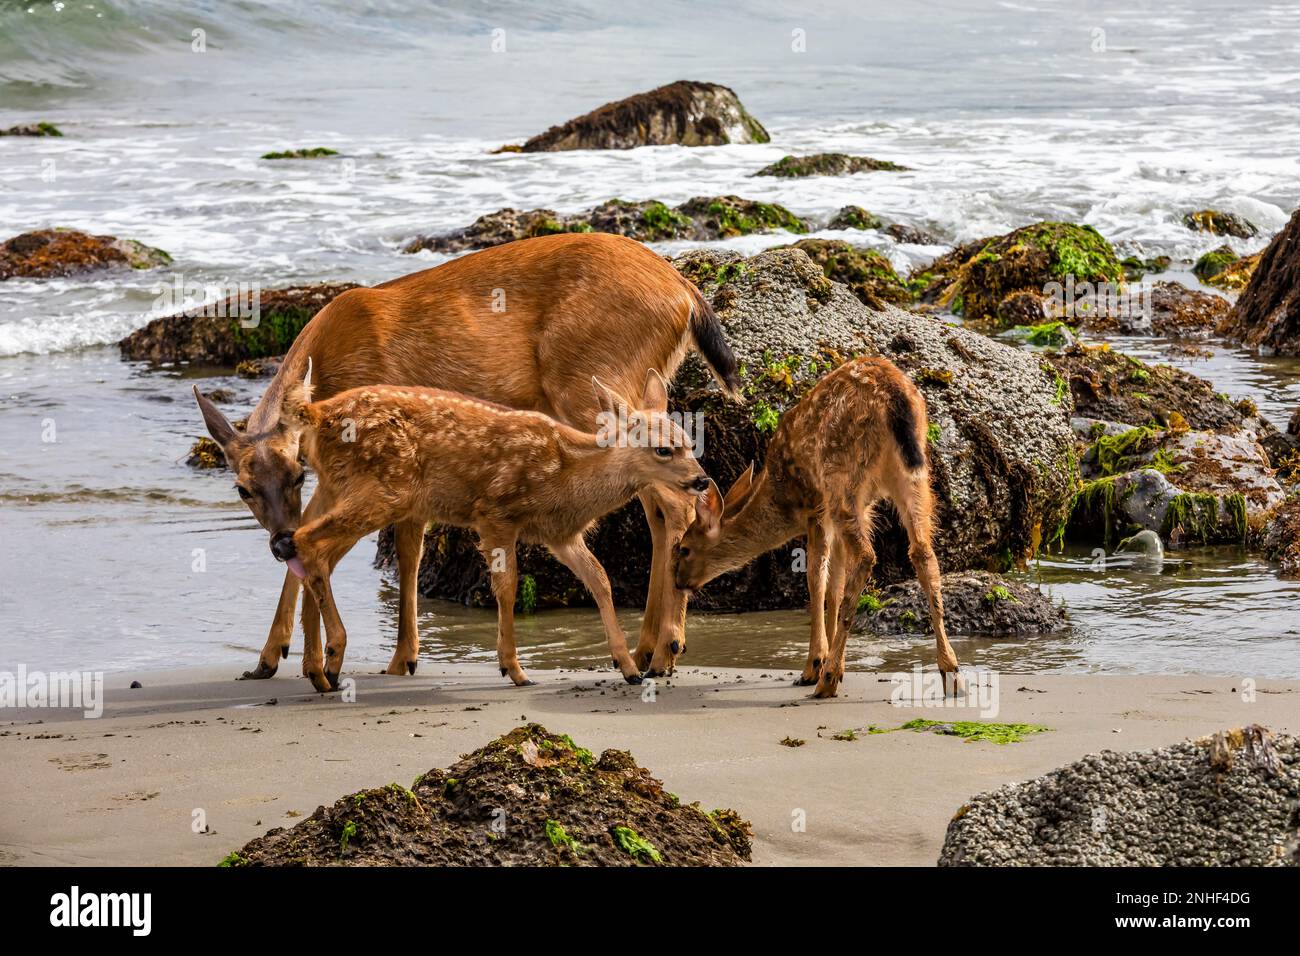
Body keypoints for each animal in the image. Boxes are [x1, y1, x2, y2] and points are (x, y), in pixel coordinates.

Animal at [265, 364, 705, 692]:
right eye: (663, 449)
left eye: (688, 440)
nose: (702, 480)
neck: (568, 475)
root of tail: (319, 415)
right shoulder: (496, 513)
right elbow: (507, 587)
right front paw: (514, 668)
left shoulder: (559, 534)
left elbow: (600, 580)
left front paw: (628, 666)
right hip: (383, 490)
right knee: (307, 542)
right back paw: (332, 658)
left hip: (345, 487)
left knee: (302, 546)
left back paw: (317, 670)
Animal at [671, 356, 960, 699]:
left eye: (684, 548)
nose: (678, 582)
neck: (780, 498)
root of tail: (895, 397)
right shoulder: (860, 509)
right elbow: (835, 585)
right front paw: (835, 662)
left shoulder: (815, 508)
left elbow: (816, 580)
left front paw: (815, 666)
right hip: (913, 477)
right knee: (923, 553)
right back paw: (952, 673)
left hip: (841, 476)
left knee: (867, 556)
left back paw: (827, 680)